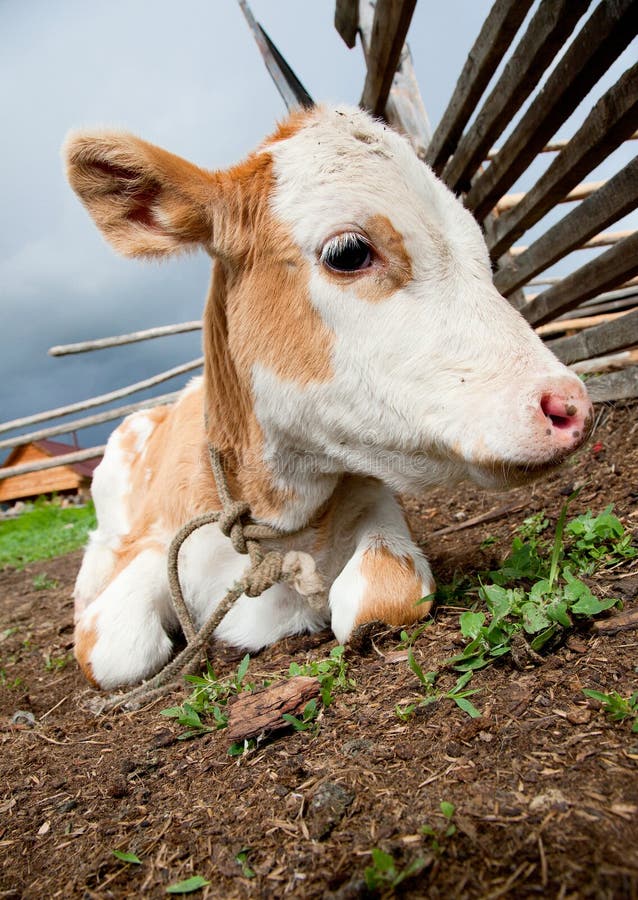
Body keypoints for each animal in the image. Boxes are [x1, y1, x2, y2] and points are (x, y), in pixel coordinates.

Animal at [65, 105, 592, 689]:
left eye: (480, 254)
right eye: (349, 252)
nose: (569, 404)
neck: (279, 517)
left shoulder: (376, 501)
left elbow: (383, 594)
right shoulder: (156, 543)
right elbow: (115, 650)